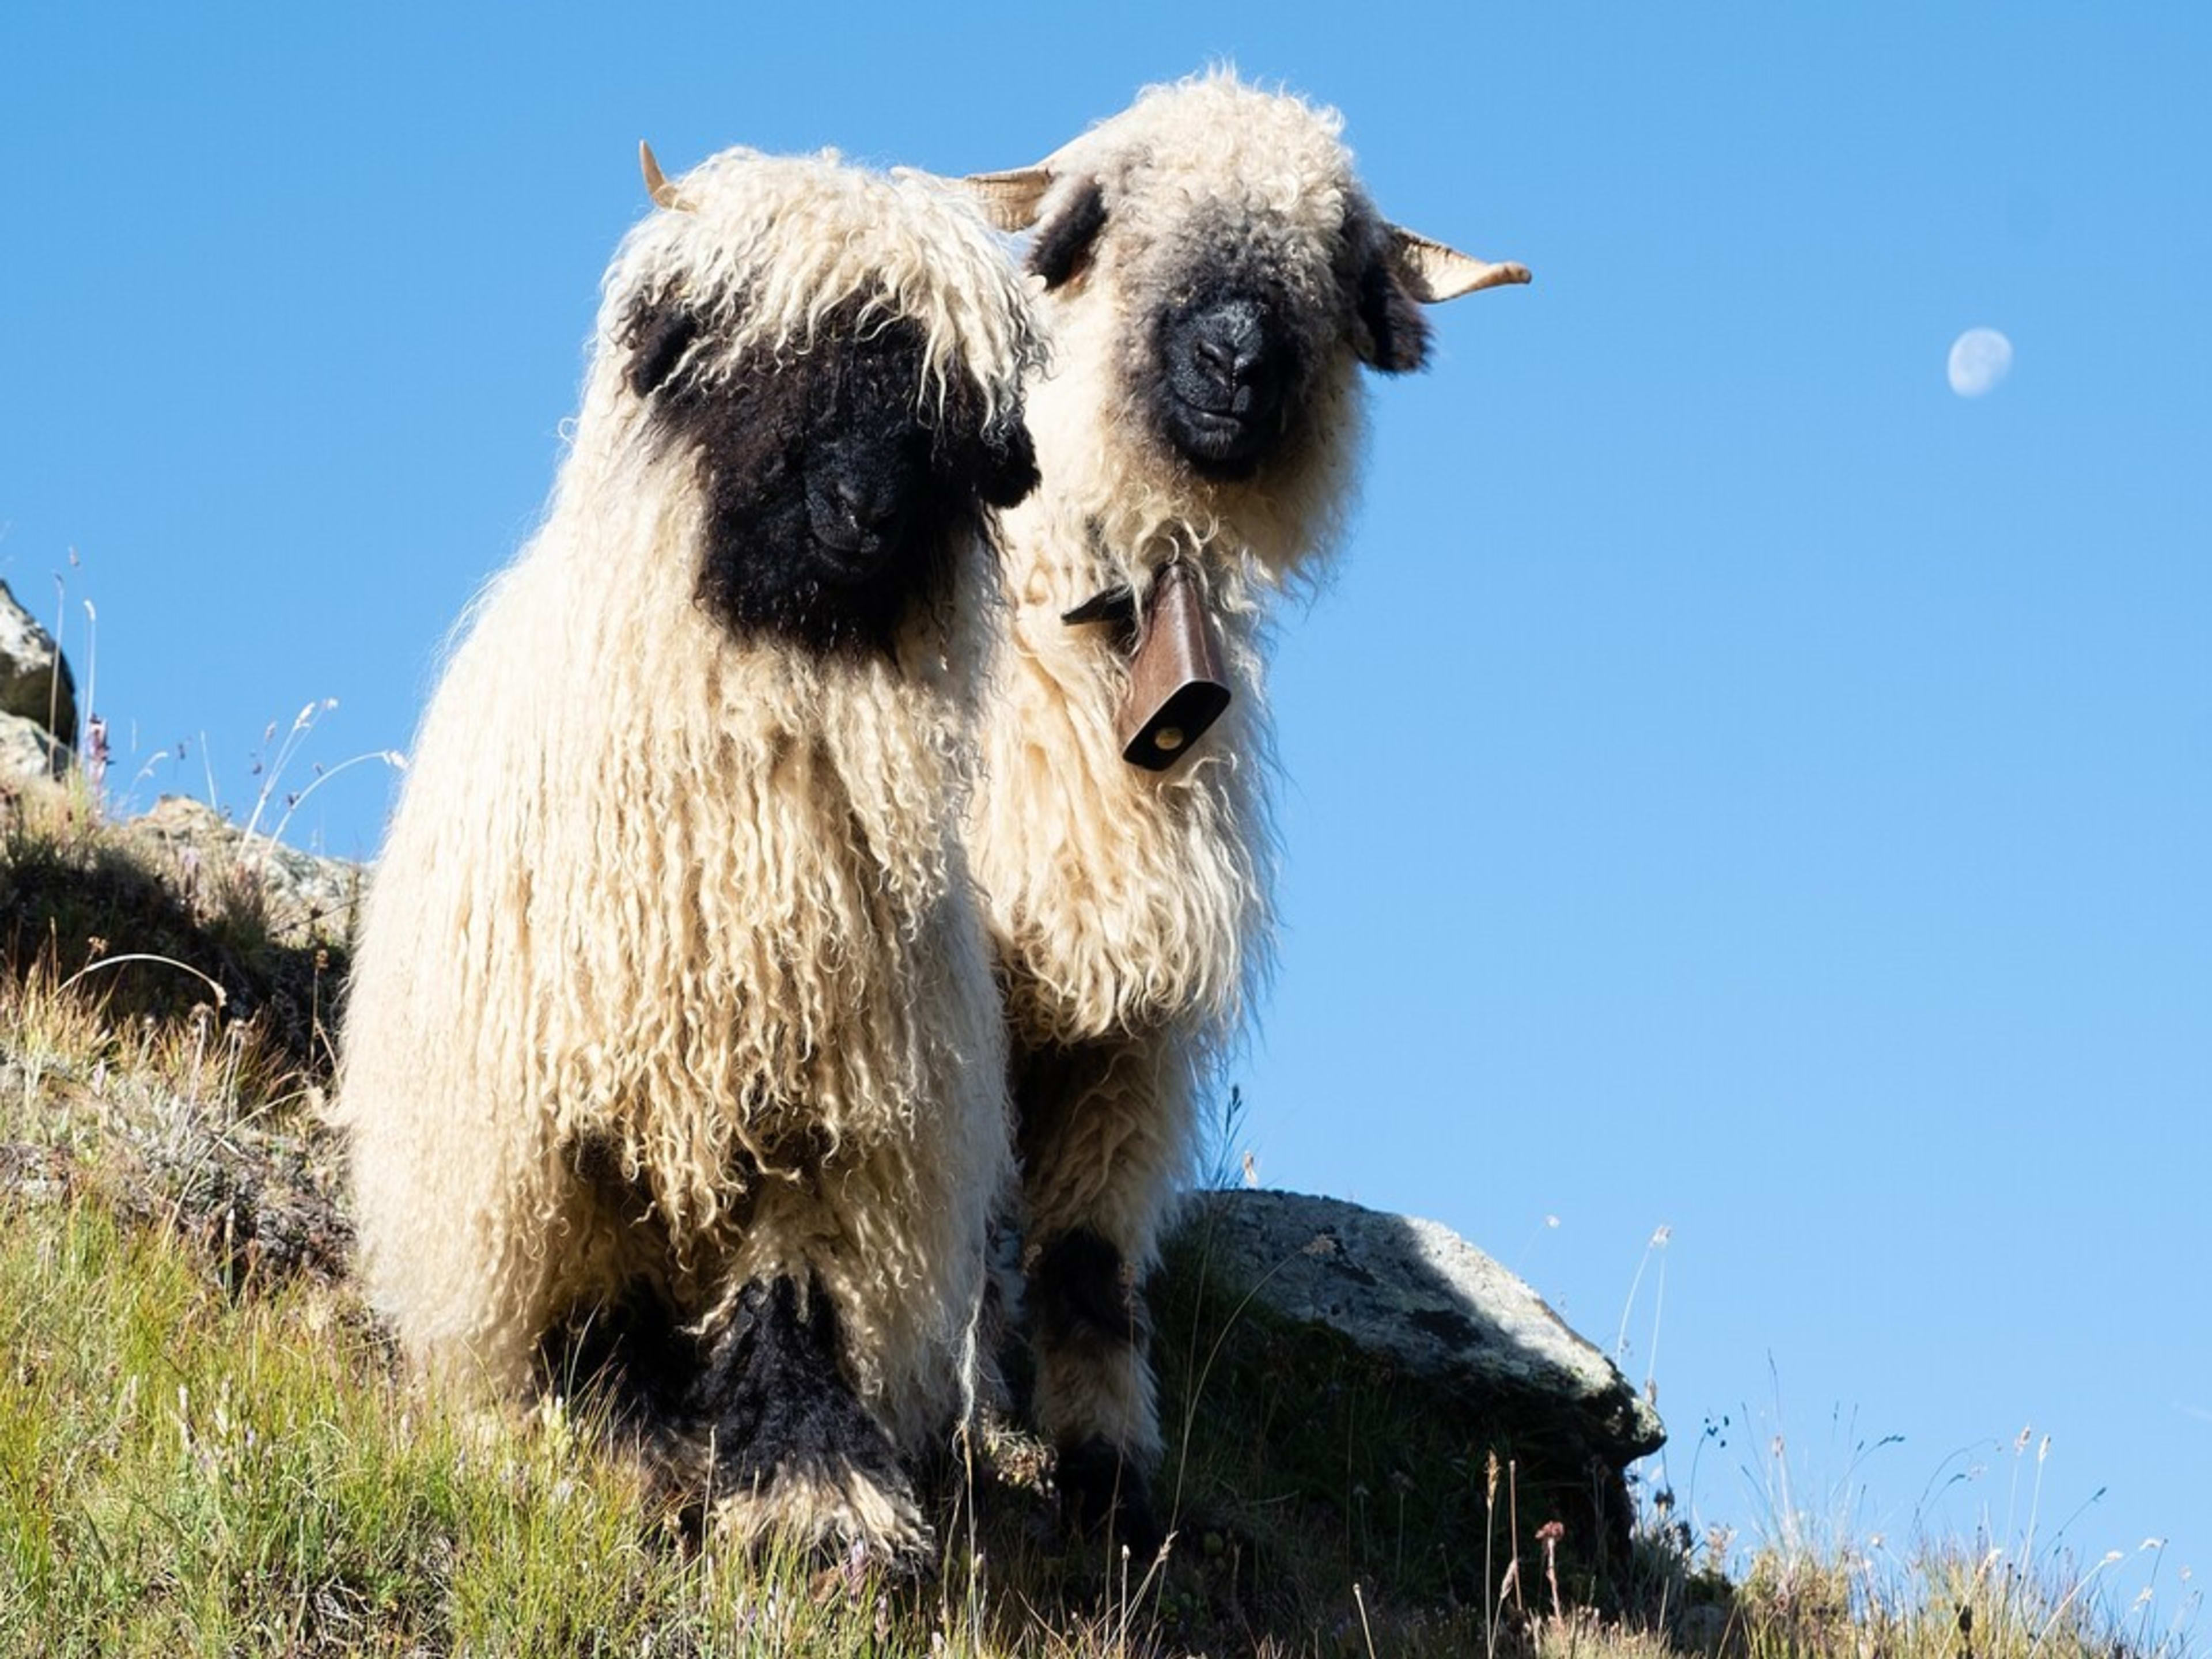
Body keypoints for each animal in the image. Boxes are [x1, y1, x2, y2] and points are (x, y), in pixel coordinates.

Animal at [335, 142, 1042, 1566]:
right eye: (753, 365)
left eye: (942, 419)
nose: (861, 513)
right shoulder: (574, 1110)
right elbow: (595, 1291)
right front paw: (615, 1454)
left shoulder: (833, 1118)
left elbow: (798, 1294)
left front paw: (814, 1501)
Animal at [956, 70, 1529, 1547]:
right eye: (1114, 207)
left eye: (1334, 252)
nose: (1234, 360)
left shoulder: (1134, 1040)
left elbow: (1088, 1268)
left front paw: (1107, 1477)